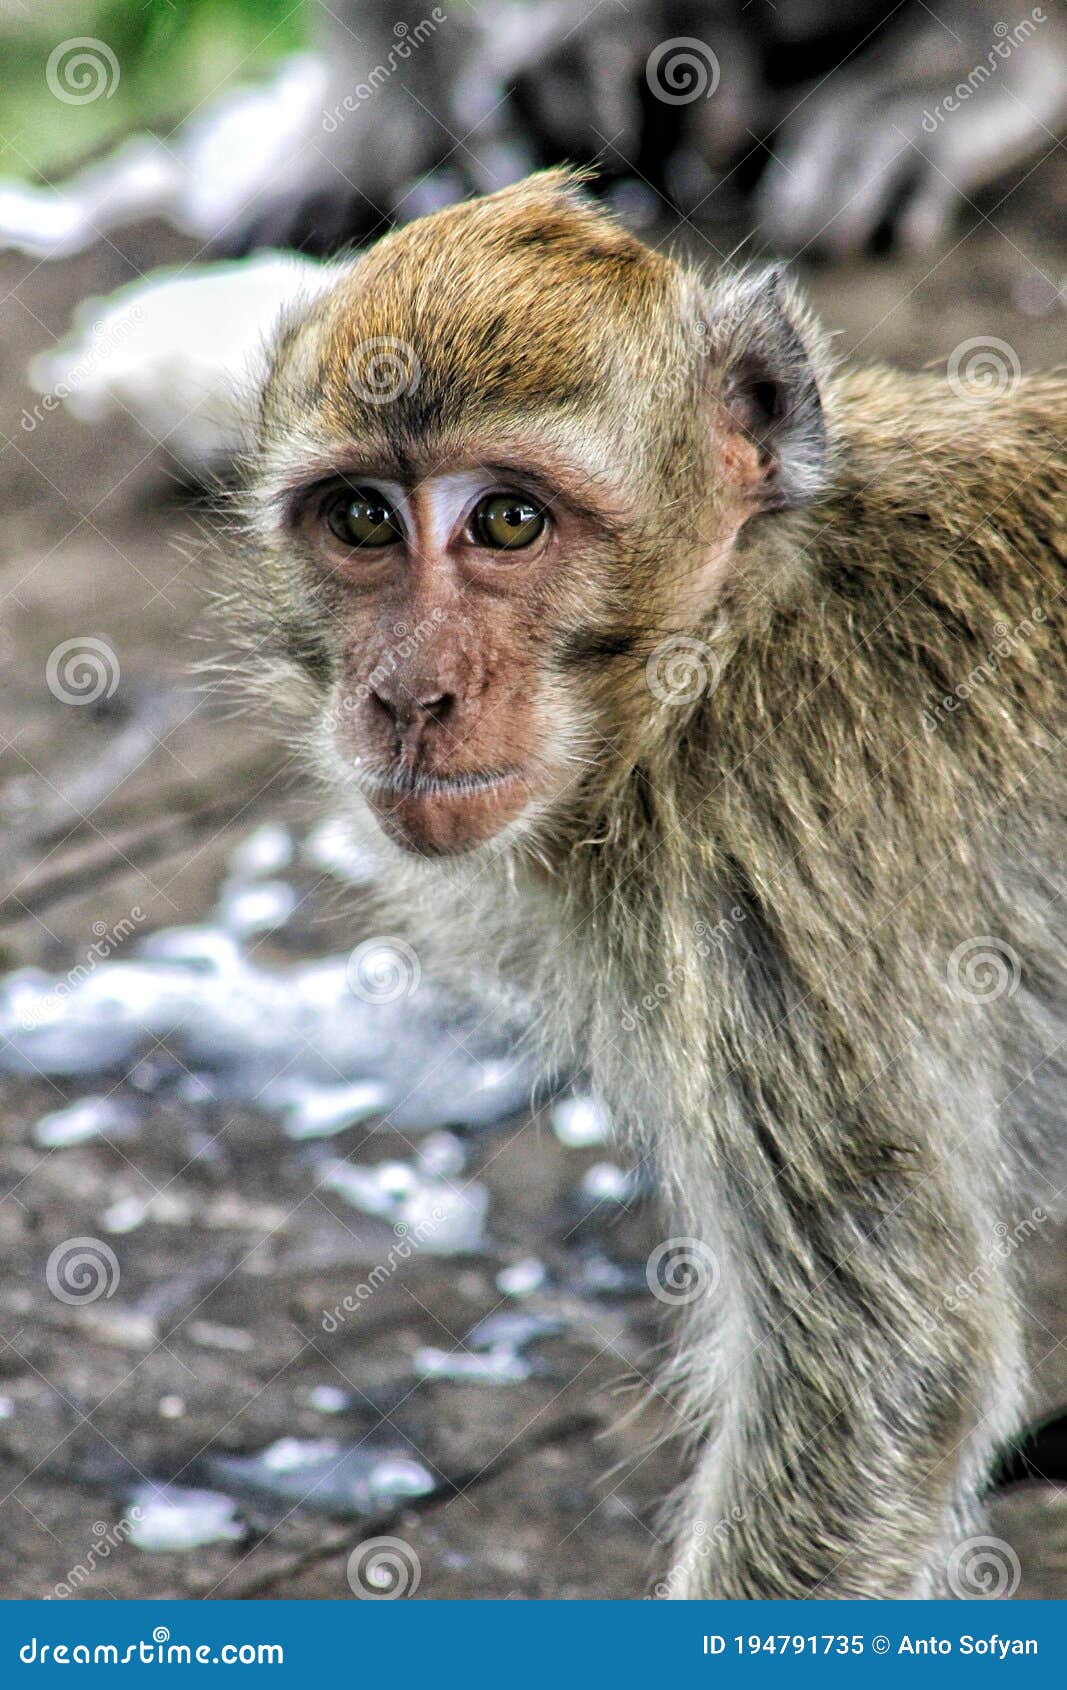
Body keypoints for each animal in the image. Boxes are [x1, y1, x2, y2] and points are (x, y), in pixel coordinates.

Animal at [229, 170, 1066, 1598]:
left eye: (509, 519)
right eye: (362, 520)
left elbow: (888, 1367)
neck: (726, 632)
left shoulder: (760, 850)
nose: (407, 694)